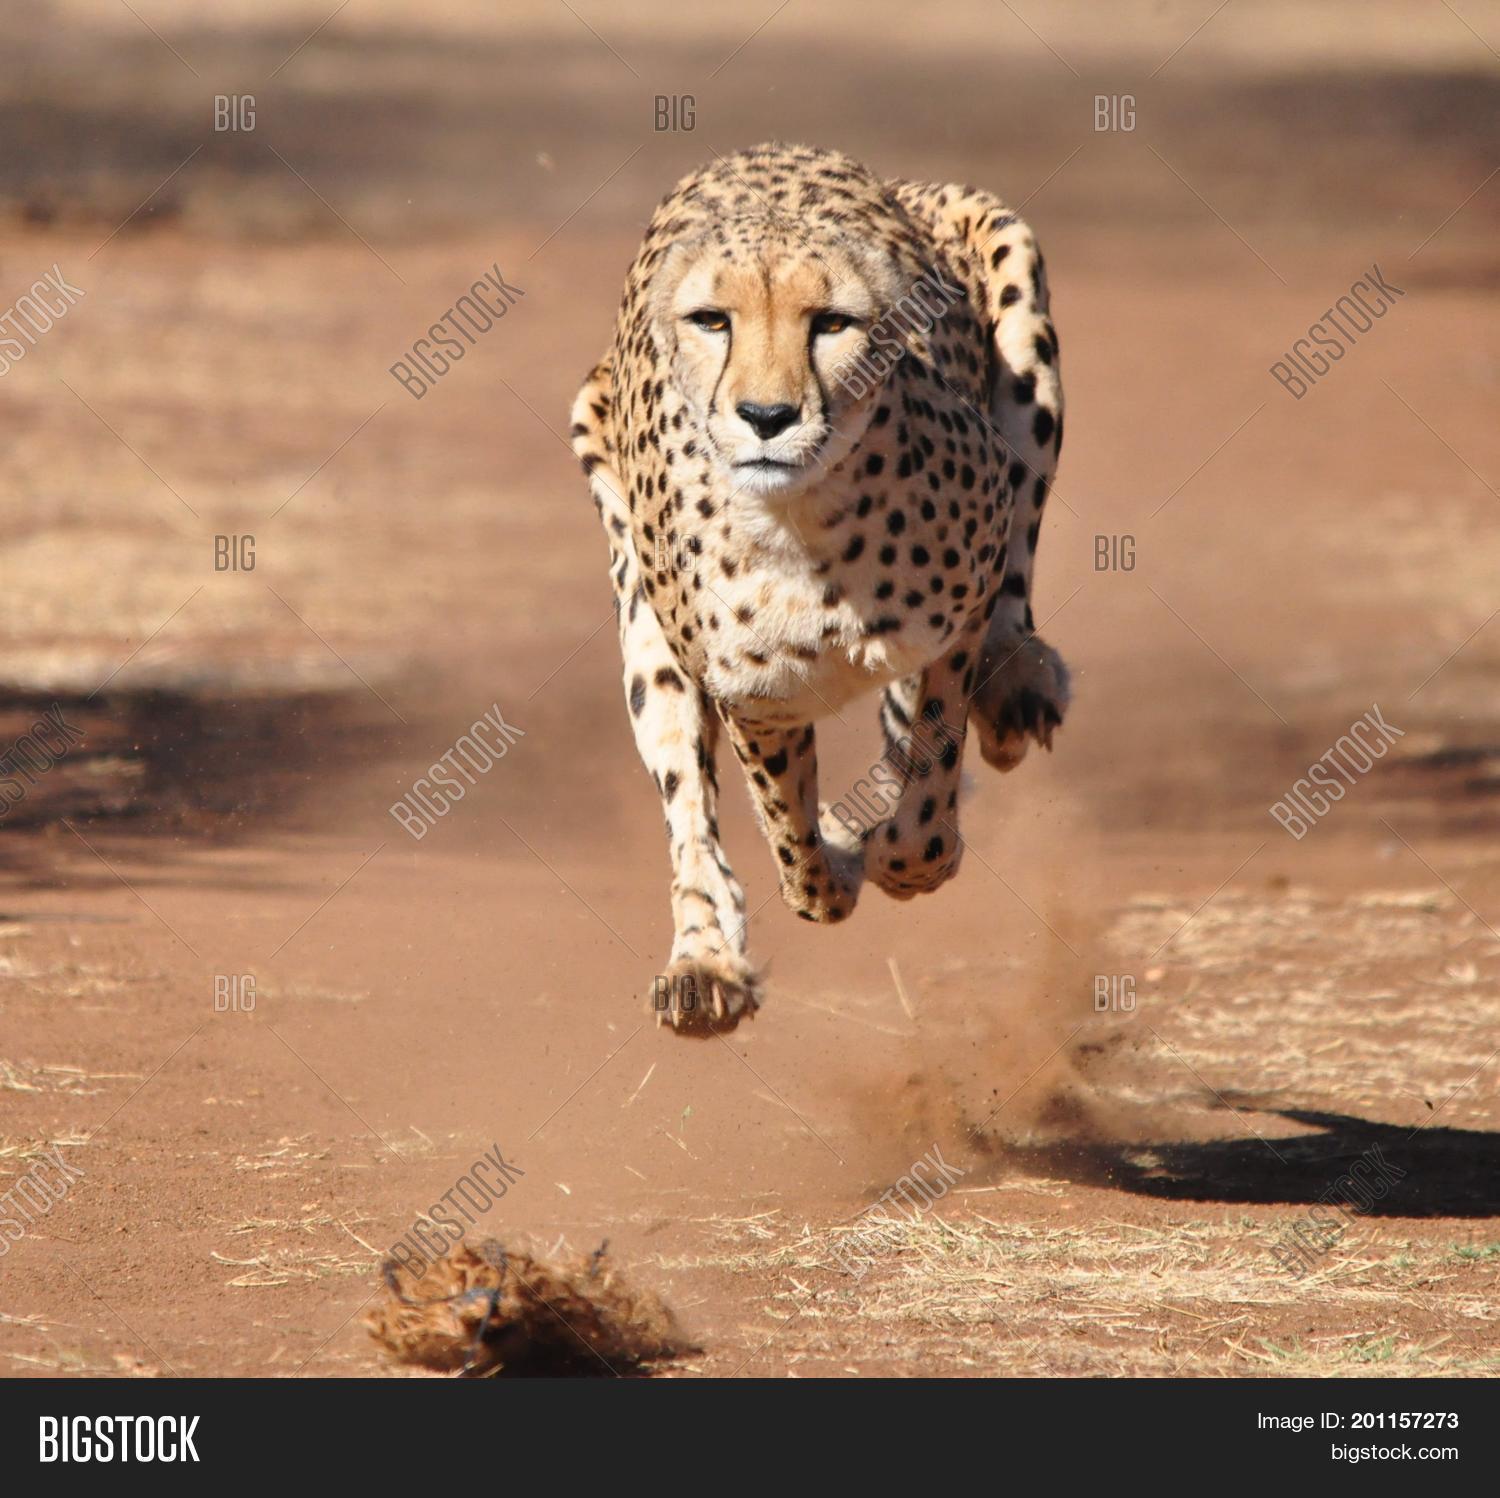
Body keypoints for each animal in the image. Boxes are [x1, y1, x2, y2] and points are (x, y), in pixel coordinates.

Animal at [569, 142, 1069, 1036]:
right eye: (713, 320)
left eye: (832, 323)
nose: (767, 416)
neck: (804, 522)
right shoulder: (753, 696)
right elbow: (785, 828)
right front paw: (830, 871)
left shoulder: (960, 608)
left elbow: (929, 777)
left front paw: (900, 856)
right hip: (641, 617)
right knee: (688, 807)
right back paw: (703, 963)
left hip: (1021, 317)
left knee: (1015, 573)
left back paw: (1017, 687)